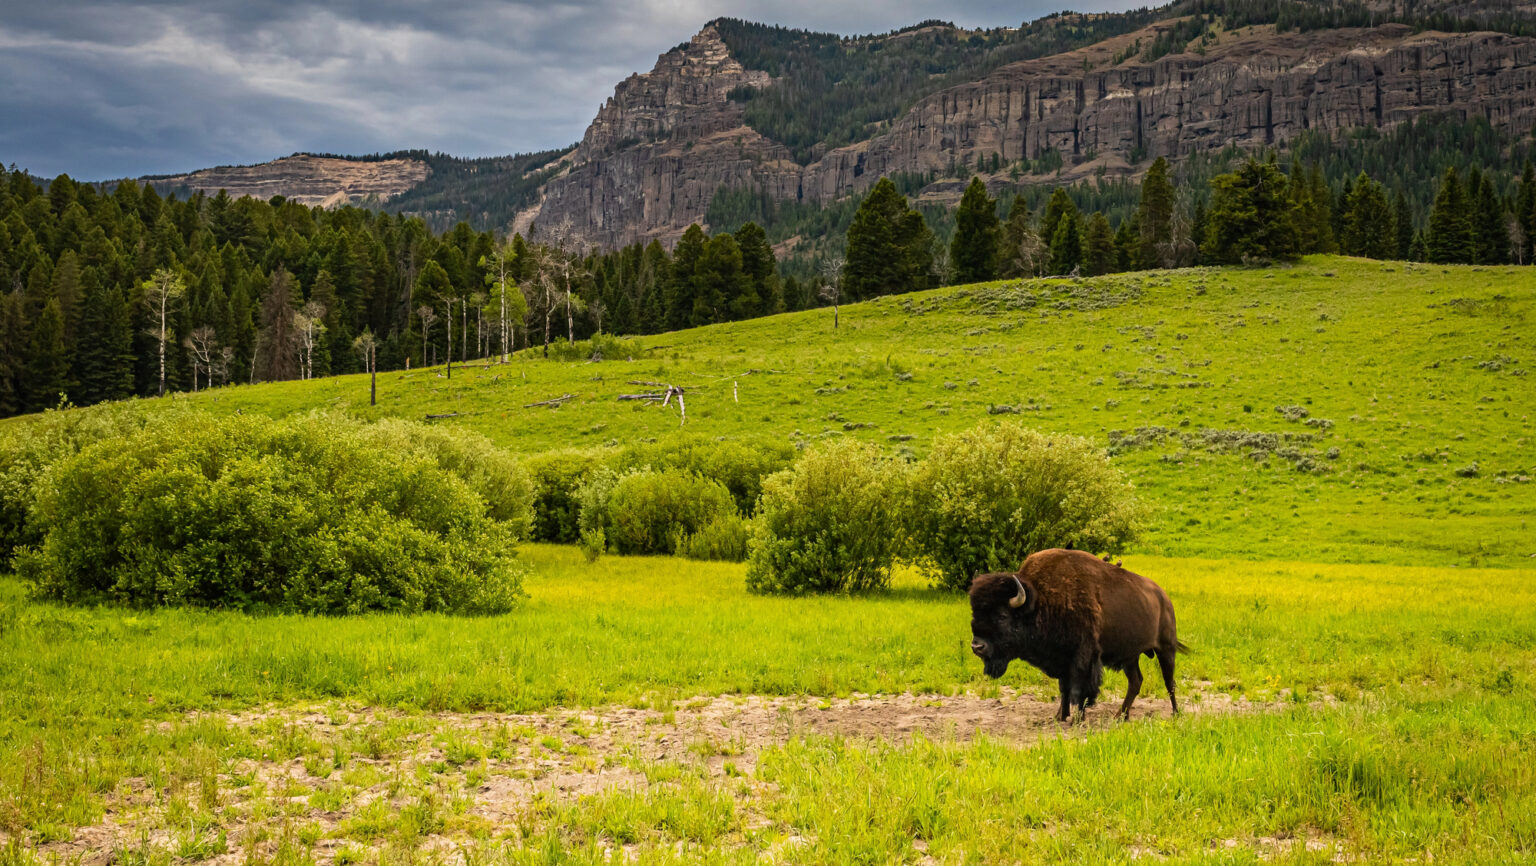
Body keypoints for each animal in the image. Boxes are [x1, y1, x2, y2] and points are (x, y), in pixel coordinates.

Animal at [968, 548, 1187, 722]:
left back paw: (1175, 714)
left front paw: (1077, 719)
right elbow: (1064, 688)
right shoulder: (1061, 658)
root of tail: (1164, 598)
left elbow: (1079, 689)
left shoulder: (1084, 656)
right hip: (1130, 656)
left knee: (1169, 682)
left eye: (1002, 615)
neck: (1040, 600)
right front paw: (1060, 716)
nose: (977, 646)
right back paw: (1121, 717)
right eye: (974, 613)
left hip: (1166, 649)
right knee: (1136, 682)